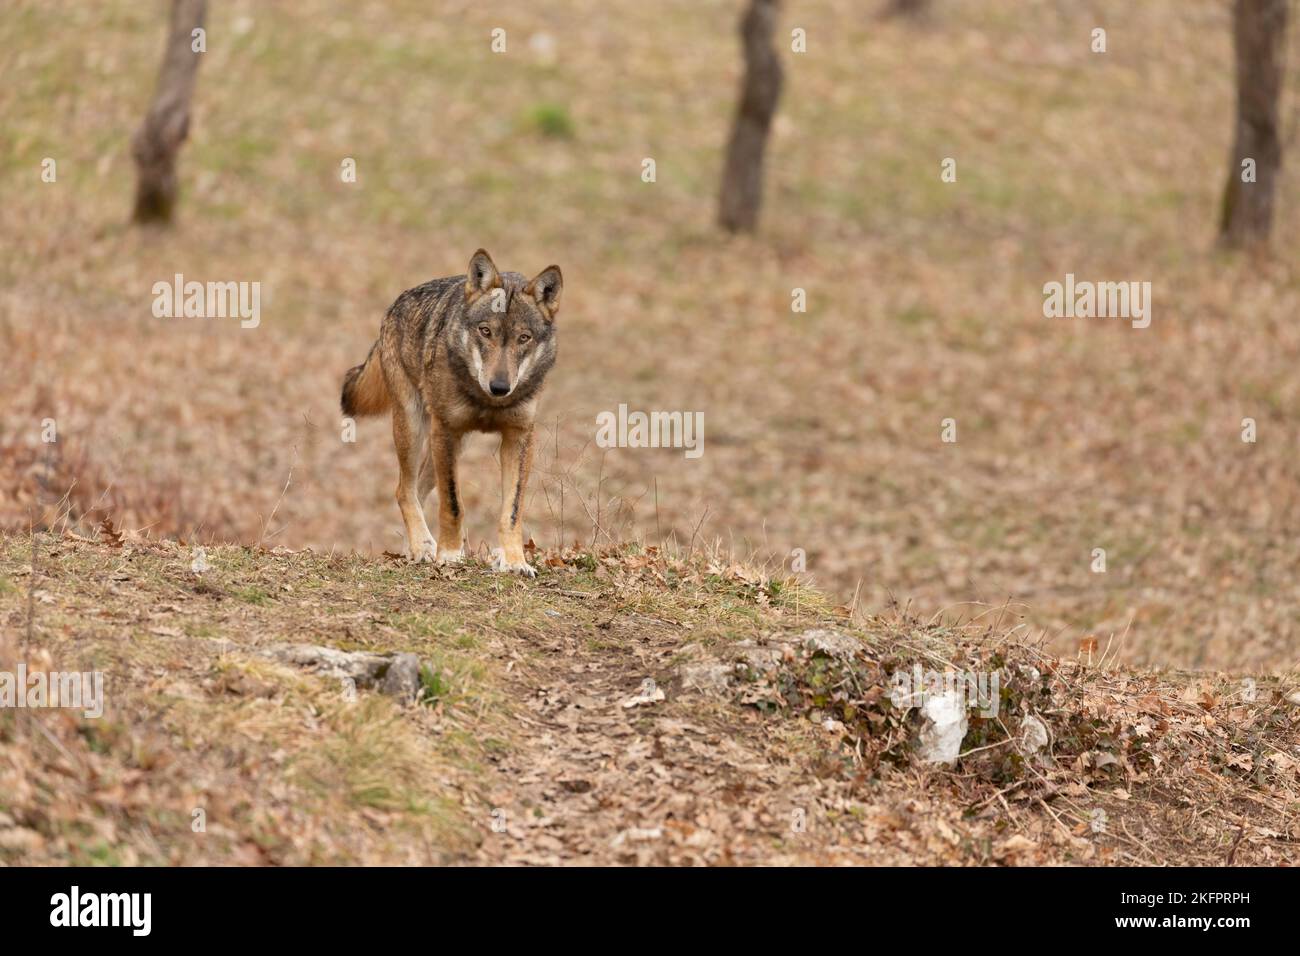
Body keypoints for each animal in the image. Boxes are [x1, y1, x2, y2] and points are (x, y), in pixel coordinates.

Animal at [341, 249, 561, 575]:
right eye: (485, 331)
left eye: (524, 338)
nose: (499, 387)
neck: (488, 401)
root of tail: (394, 306)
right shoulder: (446, 429)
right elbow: (453, 504)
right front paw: (449, 555)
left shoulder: (519, 437)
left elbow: (511, 510)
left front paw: (515, 561)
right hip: (416, 428)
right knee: (403, 490)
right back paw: (424, 547)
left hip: (447, 446)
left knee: (416, 491)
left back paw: (417, 547)